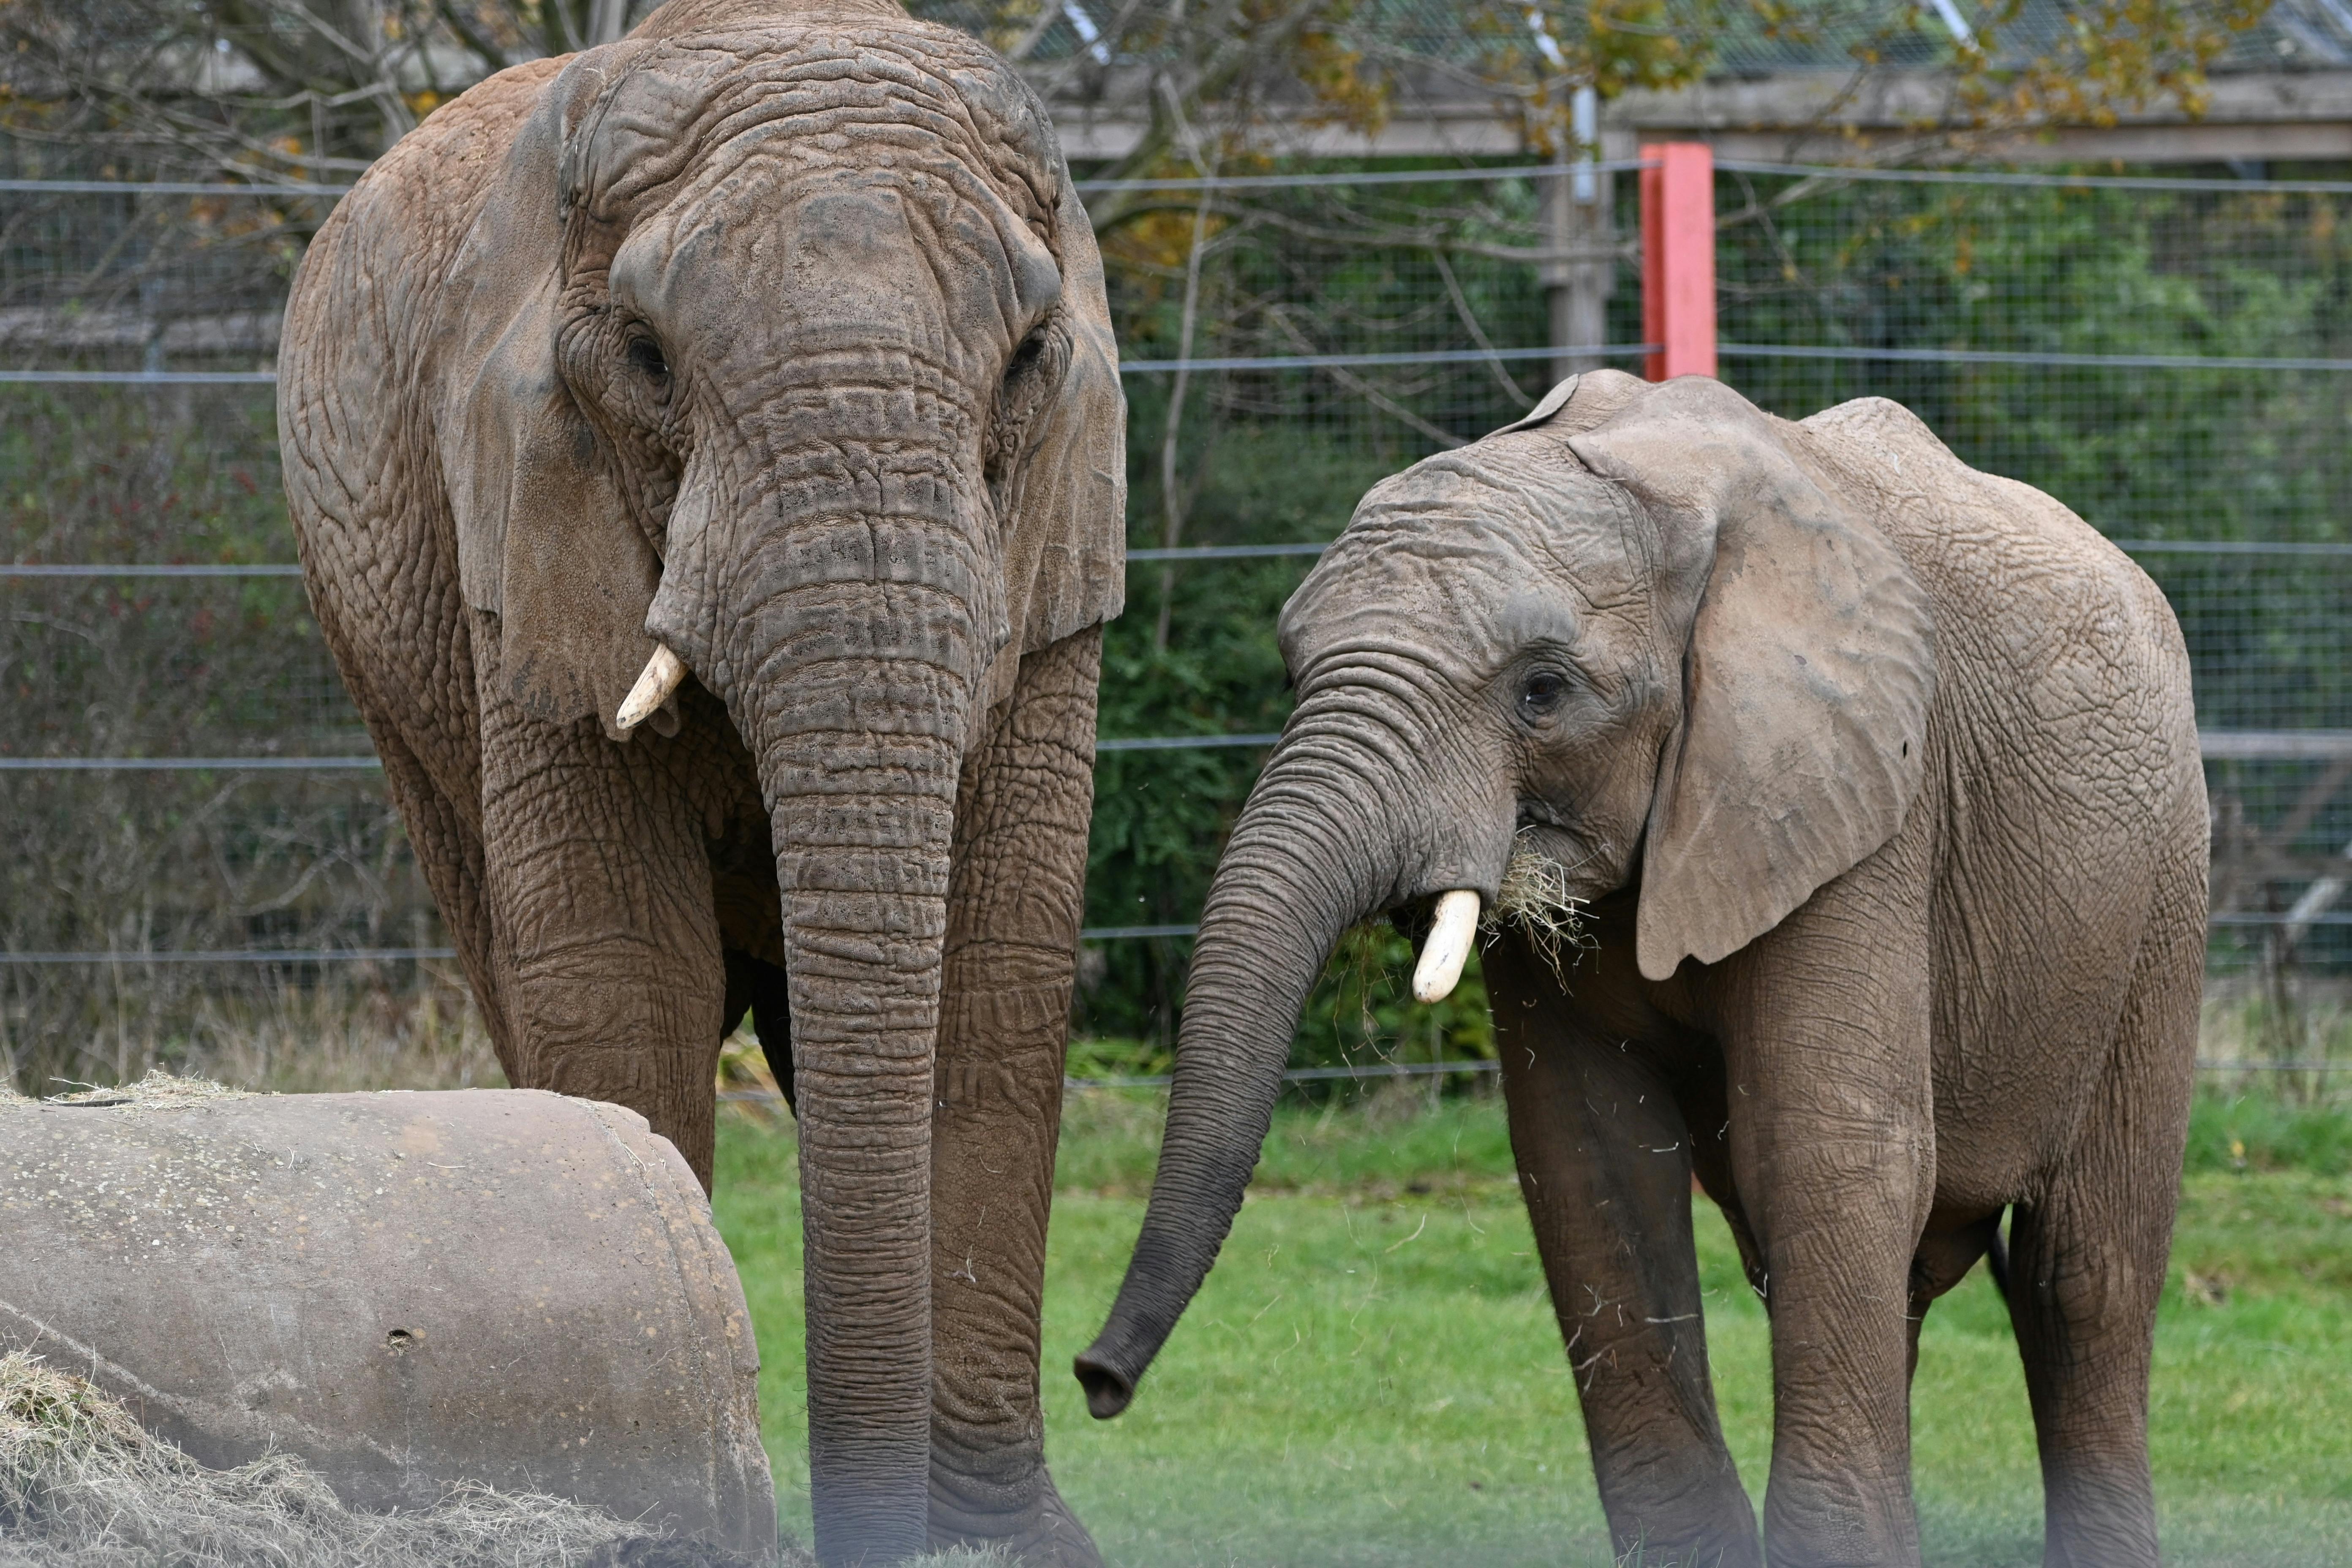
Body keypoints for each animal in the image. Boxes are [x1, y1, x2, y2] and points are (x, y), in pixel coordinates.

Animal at [276, 1, 1124, 1560]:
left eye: (1032, 353)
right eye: (648, 359)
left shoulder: (1056, 548)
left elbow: (995, 969)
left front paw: (1002, 1539)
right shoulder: (522, 521)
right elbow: (625, 972)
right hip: (382, 668)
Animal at [1075, 371, 2208, 1567]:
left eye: (1542, 690)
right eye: (1293, 670)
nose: (1097, 1380)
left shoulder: (1867, 804)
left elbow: (1830, 1152)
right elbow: (1592, 1160)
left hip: (2162, 888)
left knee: (2078, 1276)